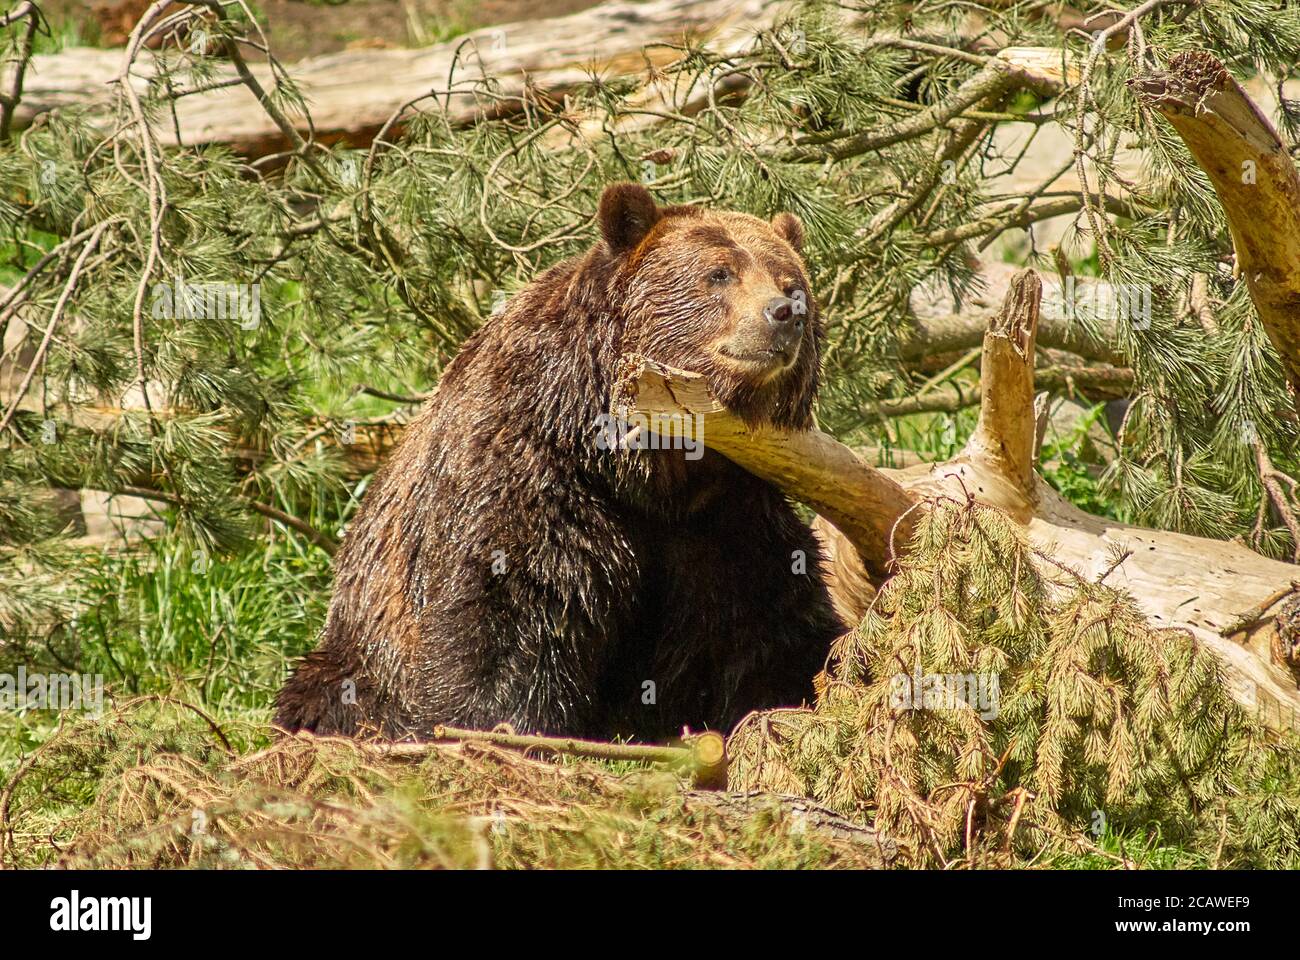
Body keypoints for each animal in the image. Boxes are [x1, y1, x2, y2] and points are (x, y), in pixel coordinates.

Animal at [274, 182, 845, 741]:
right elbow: (507, 609)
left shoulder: (726, 512)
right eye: (719, 274)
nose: (784, 313)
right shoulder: (530, 474)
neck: (646, 470)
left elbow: (773, 617)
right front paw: (497, 723)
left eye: (790, 280)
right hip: (357, 651)